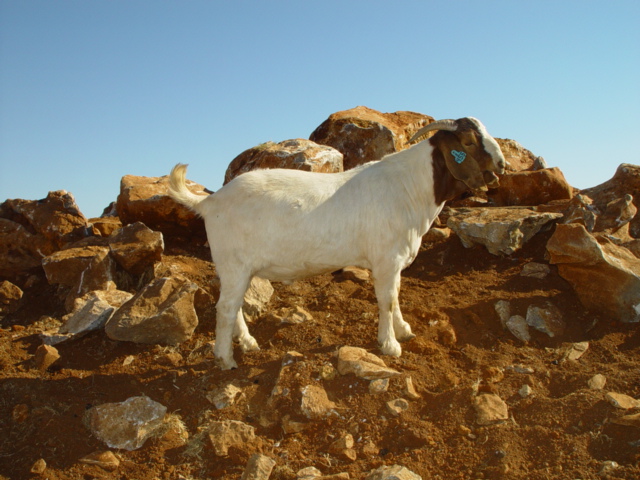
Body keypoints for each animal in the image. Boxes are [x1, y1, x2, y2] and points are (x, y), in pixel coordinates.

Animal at [169, 117, 507, 369]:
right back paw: (225, 359)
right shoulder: (386, 260)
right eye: (468, 143)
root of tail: (209, 203)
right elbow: (387, 300)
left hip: (236, 268)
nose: (502, 165)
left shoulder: (394, 262)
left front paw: (404, 331)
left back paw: (248, 343)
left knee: (233, 305)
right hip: (233, 263)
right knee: (226, 308)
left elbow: (396, 295)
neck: (410, 188)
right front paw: (389, 345)